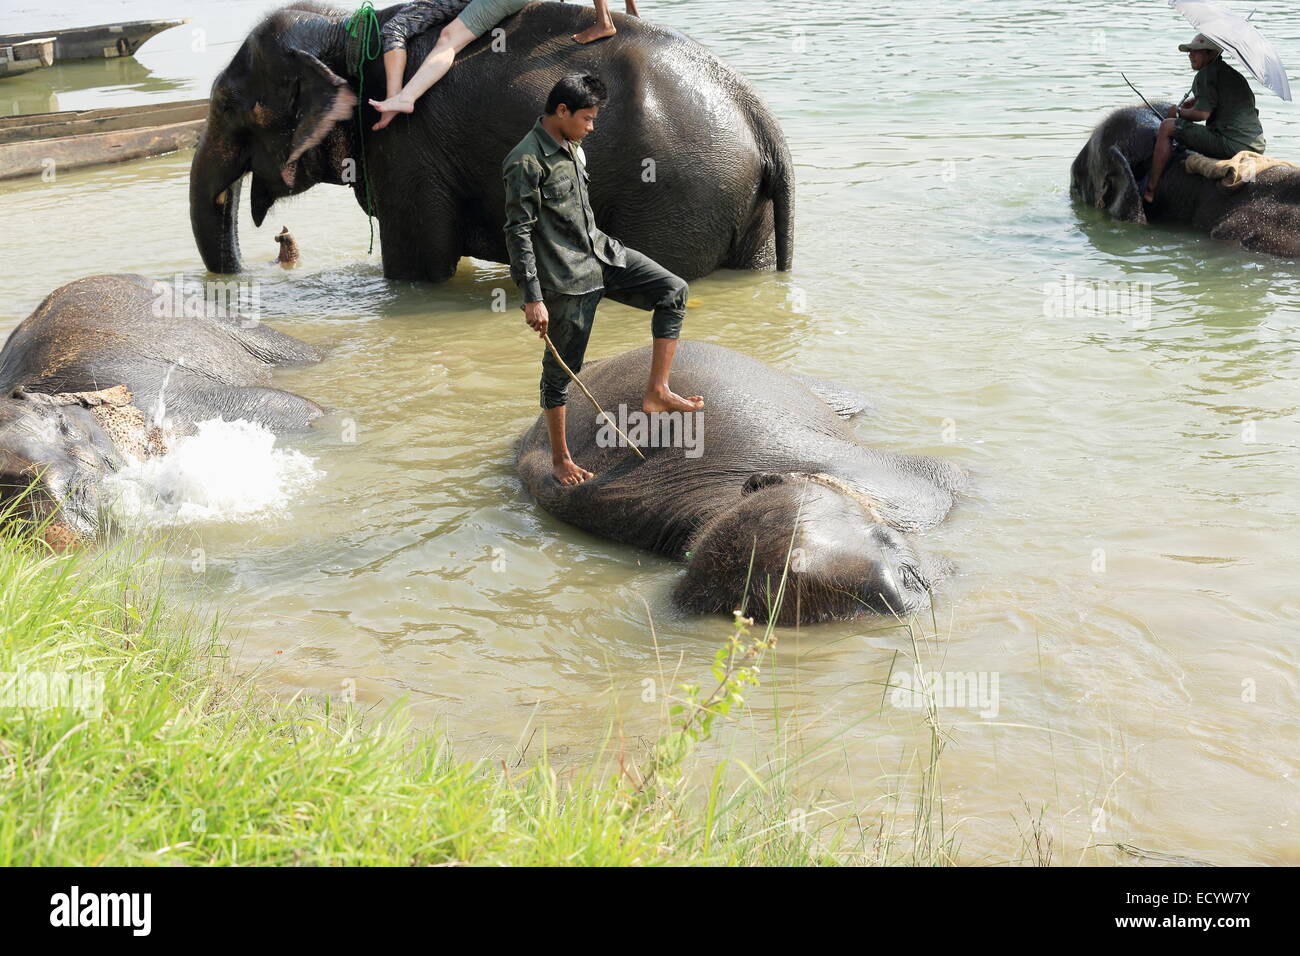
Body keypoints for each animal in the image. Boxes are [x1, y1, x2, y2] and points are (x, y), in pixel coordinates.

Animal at [190, 2, 794, 283]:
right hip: (737, 204)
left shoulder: (404, 146)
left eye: (226, 105)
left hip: (677, 194)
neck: (343, 29)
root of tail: (759, 116)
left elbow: (420, 265)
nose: (273, 253)